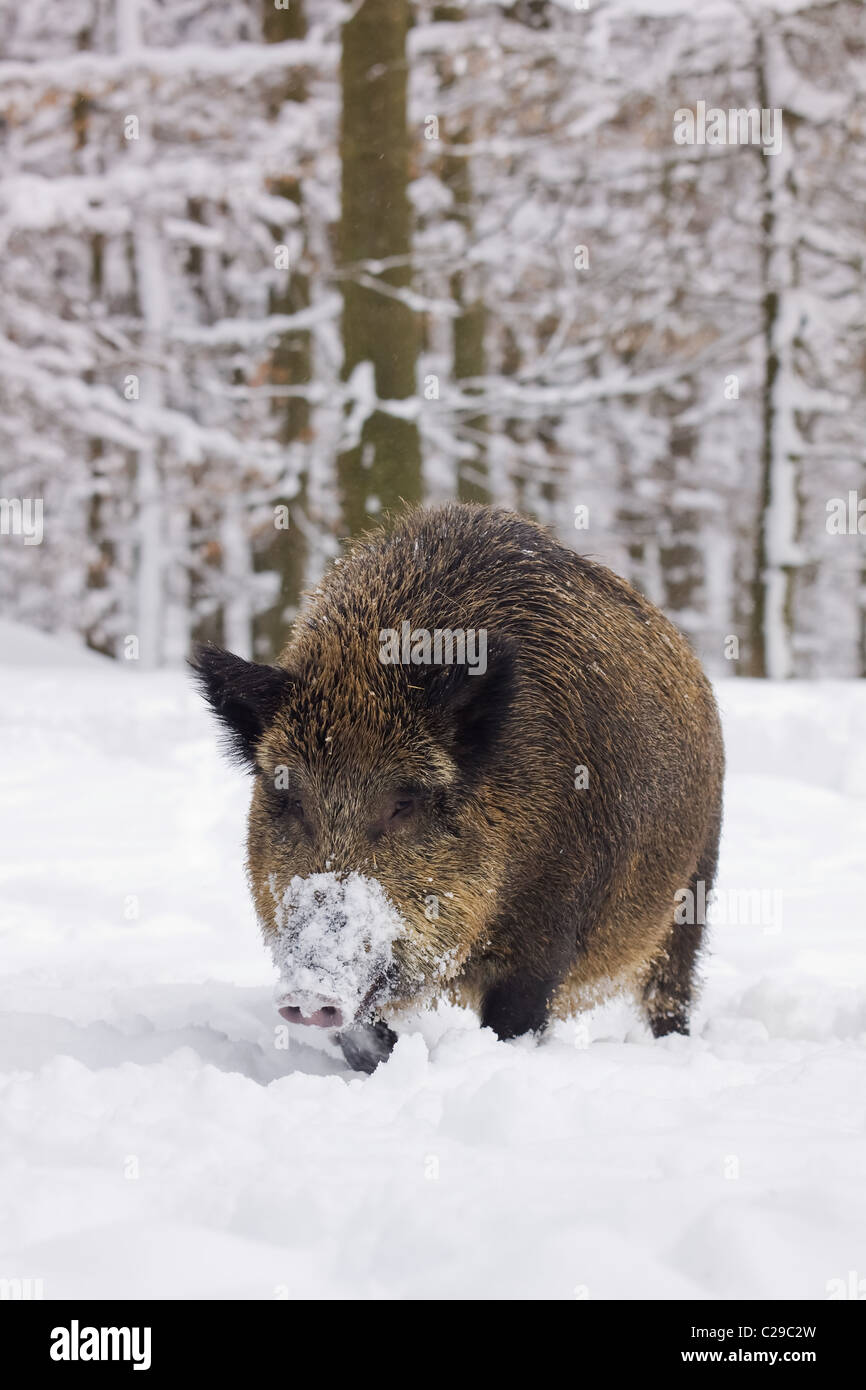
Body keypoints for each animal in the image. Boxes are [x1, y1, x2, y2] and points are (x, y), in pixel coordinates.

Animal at [192, 502, 724, 1072]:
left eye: (404, 802)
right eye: (291, 799)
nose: (311, 994)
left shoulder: (548, 929)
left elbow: (515, 1022)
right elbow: (360, 1032)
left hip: (694, 889)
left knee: (671, 991)